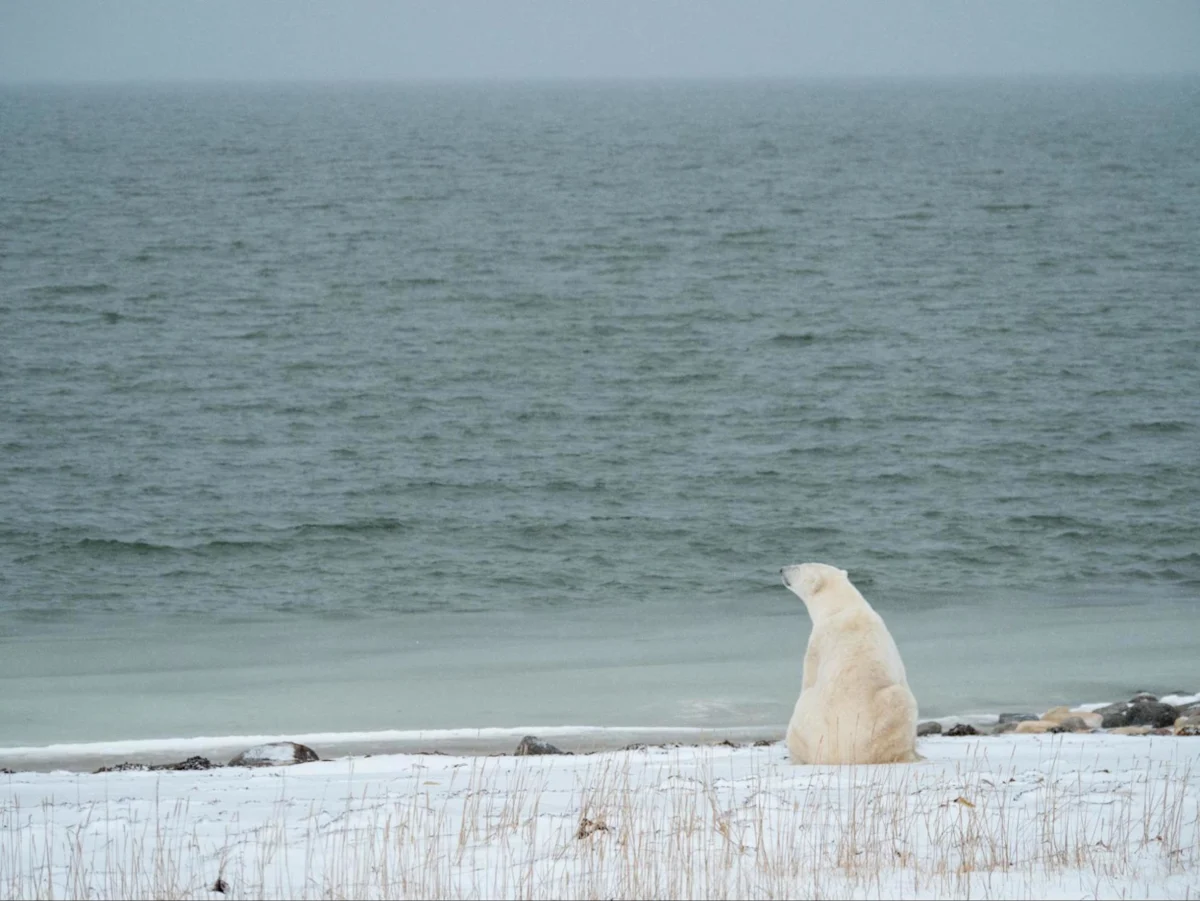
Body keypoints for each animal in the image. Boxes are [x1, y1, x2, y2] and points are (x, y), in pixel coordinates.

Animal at [780, 562, 921, 765]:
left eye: (798, 567)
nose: (781, 569)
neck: (842, 606)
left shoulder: (817, 643)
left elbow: (809, 678)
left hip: (808, 722)